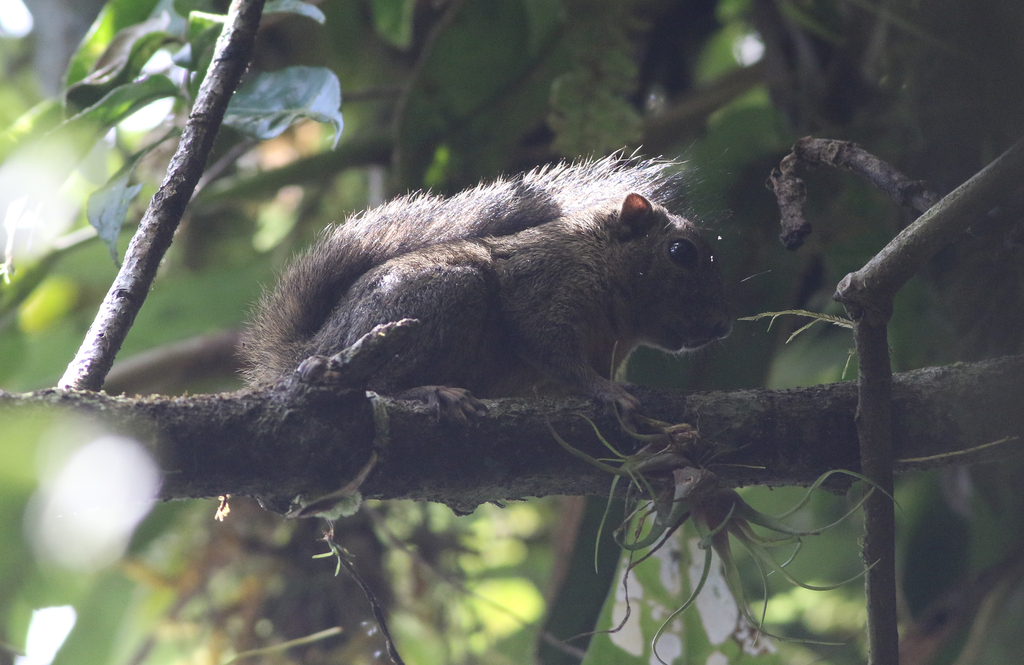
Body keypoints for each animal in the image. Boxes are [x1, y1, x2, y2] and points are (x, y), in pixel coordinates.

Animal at [241, 156, 732, 421]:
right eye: (681, 252)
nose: (722, 327)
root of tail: (314, 349)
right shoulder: (543, 284)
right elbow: (551, 349)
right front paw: (607, 393)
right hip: (444, 295)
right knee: (375, 386)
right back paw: (432, 392)